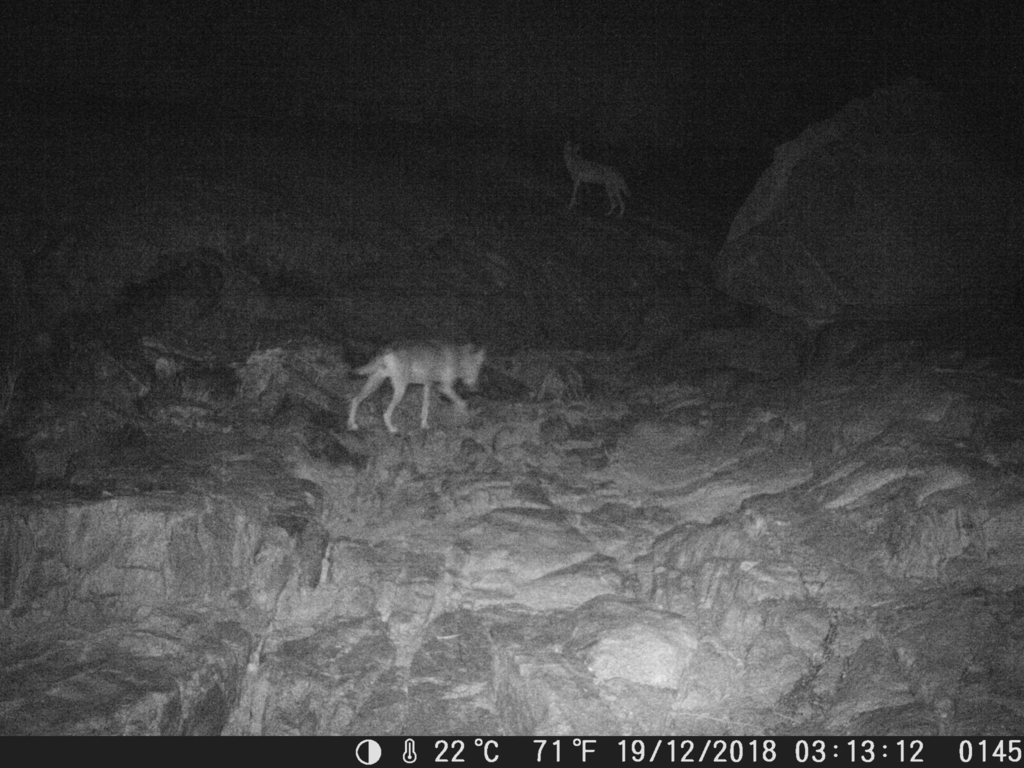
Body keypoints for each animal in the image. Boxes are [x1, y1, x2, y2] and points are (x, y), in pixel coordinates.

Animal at [347, 342, 485, 434]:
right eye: (476, 370)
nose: (476, 388)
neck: (458, 358)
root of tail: (388, 351)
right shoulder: (444, 387)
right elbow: (462, 403)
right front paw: (465, 417)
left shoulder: (428, 385)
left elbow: (425, 408)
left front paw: (424, 425)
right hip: (400, 389)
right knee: (386, 413)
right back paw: (392, 429)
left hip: (375, 383)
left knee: (355, 400)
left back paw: (352, 424)